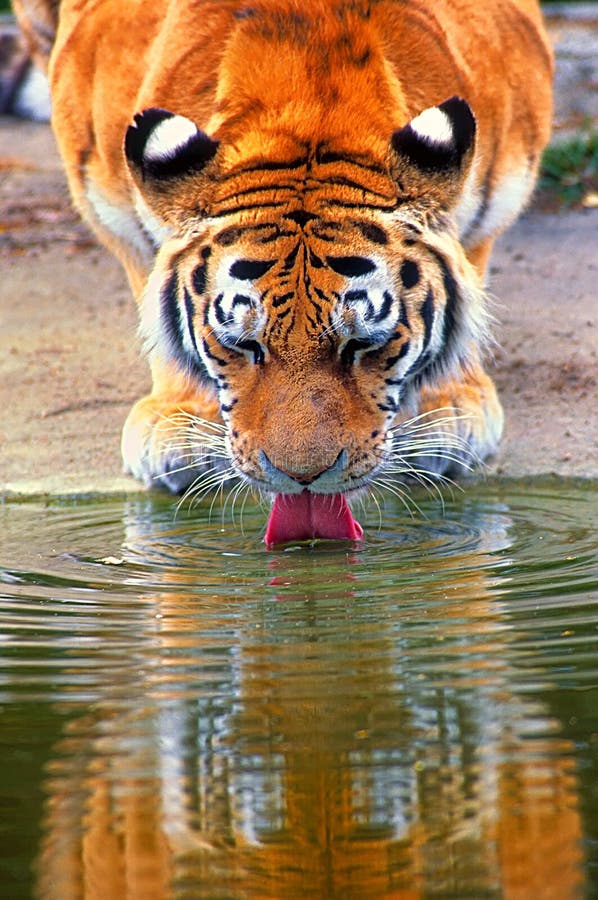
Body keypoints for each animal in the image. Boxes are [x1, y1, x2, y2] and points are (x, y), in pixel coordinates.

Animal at [13, 0, 553, 544]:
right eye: (243, 345)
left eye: (363, 345)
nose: (303, 478)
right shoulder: (104, 190)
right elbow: (149, 274)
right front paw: (180, 424)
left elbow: (469, 266)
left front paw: (448, 409)